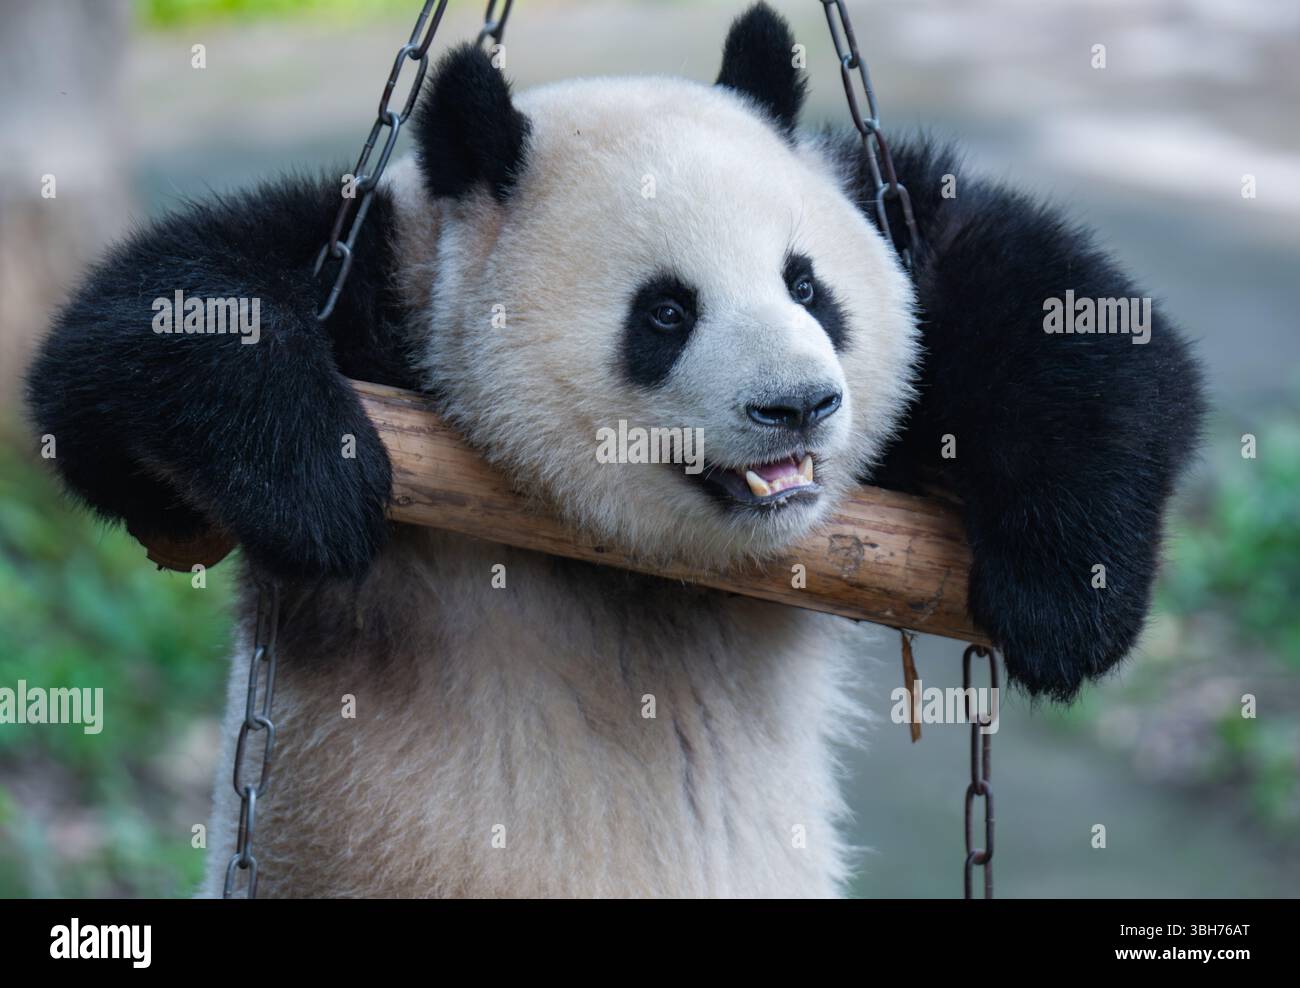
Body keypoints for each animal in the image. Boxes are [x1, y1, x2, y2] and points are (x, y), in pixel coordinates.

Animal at [27, 4, 1203, 897]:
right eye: (666, 313)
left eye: (807, 284)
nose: (801, 404)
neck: (648, 570)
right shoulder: (386, 290)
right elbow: (128, 353)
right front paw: (318, 482)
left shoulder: (896, 211)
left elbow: (1070, 315)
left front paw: (1070, 599)